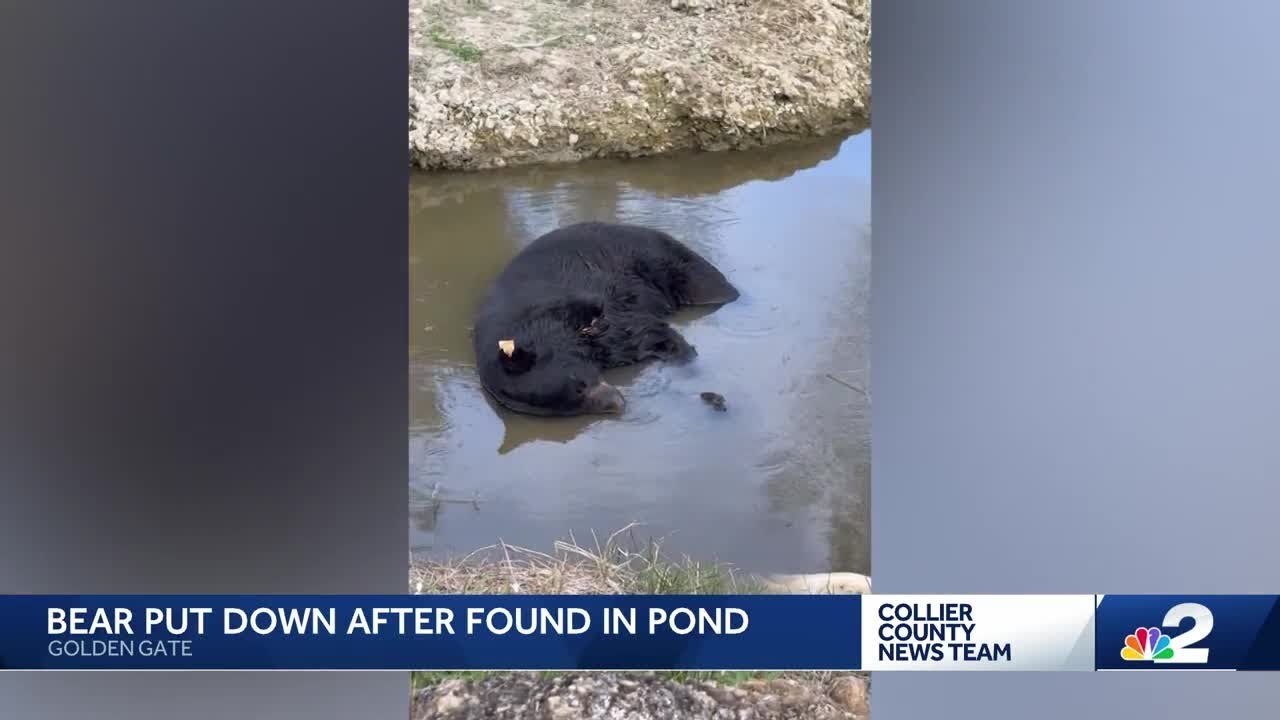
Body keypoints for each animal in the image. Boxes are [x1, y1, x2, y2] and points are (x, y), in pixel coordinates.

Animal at [472, 221, 740, 417]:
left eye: (579, 385)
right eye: (570, 409)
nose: (618, 404)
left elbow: (623, 320)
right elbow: (641, 339)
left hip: (662, 259)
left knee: (710, 285)